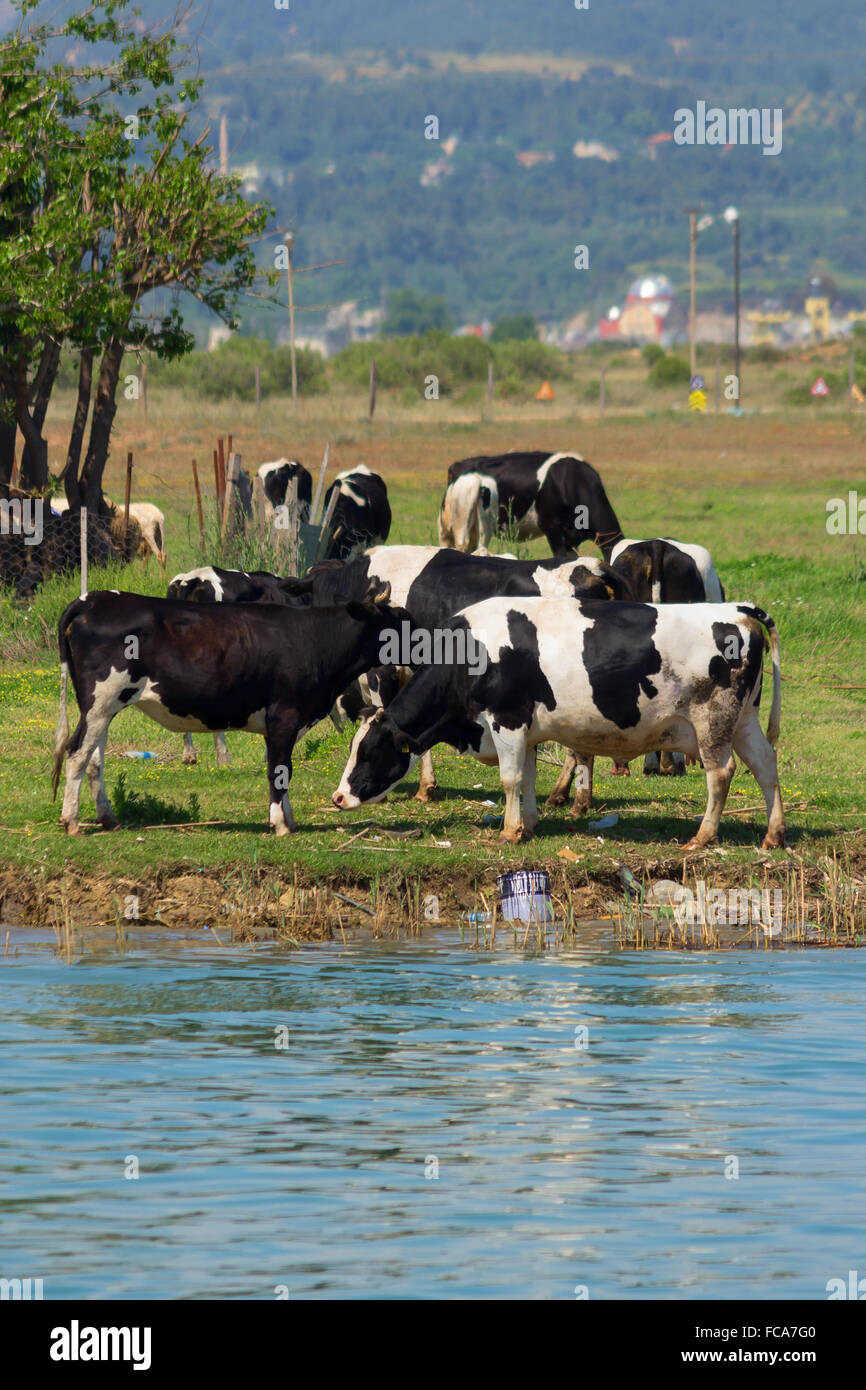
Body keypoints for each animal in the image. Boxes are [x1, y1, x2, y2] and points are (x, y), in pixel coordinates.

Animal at [51, 584, 404, 837]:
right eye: (401, 620)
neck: (317, 640)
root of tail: (91, 600)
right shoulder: (285, 716)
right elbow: (279, 770)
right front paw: (280, 824)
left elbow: (282, 769)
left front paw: (288, 819)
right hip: (101, 702)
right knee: (77, 752)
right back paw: (71, 821)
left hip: (103, 708)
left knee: (94, 758)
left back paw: (108, 819)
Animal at [332, 596, 785, 853]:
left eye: (370, 751)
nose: (338, 798)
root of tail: (739, 611)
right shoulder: (528, 731)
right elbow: (529, 777)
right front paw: (528, 825)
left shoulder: (507, 719)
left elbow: (510, 779)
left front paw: (509, 832)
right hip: (744, 720)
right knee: (766, 766)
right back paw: (774, 835)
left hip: (713, 720)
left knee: (721, 774)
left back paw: (703, 837)